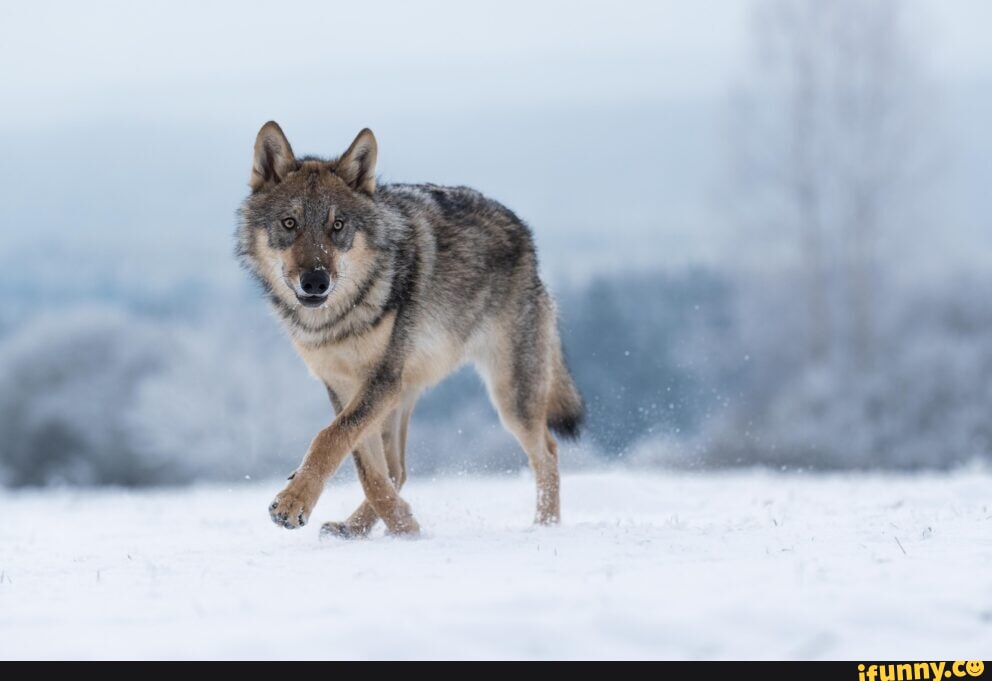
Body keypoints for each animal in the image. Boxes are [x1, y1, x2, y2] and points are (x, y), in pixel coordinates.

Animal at [237, 122, 584, 537]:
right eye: (290, 224)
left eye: (338, 226)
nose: (316, 282)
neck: (339, 319)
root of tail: (525, 234)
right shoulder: (343, 385)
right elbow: (364, 465)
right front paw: (403, 525)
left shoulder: (381, 380)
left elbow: (330, 438)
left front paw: (293, 503)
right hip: (405, 394)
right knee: (397, 470)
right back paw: (358, 527)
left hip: (509, 395)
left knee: (547, 452)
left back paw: (545, 527)